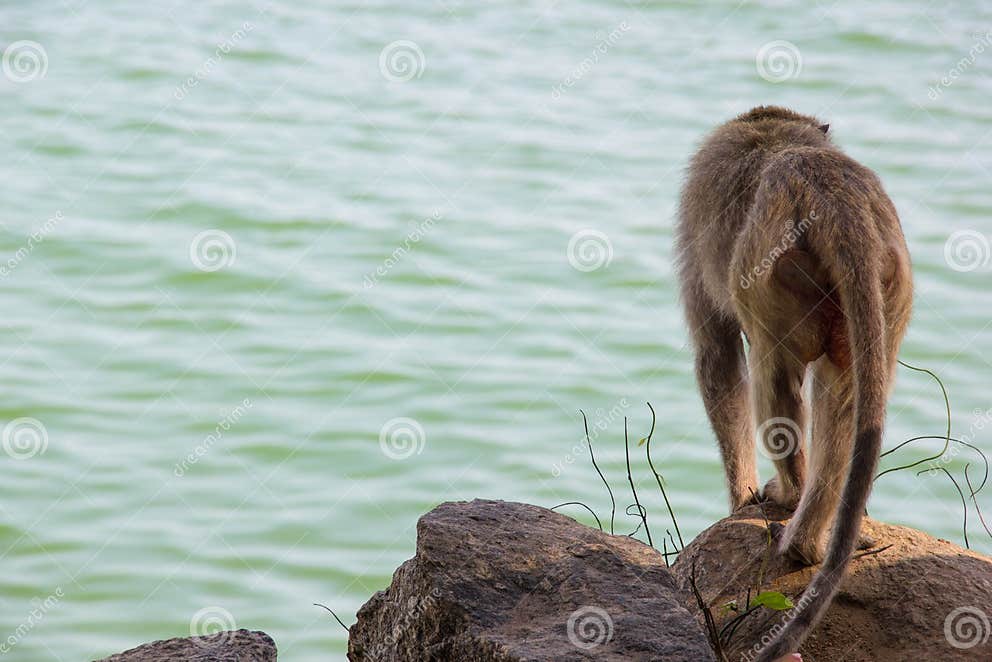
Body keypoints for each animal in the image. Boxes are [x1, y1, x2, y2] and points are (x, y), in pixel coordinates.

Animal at [675, 106, 912, 660]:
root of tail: (833, 194)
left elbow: (717, 357)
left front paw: (741, 501)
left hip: (771, 275)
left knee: (773, 372)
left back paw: (792, 508)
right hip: (888, 280)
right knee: (843, 391)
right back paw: (819, 528)